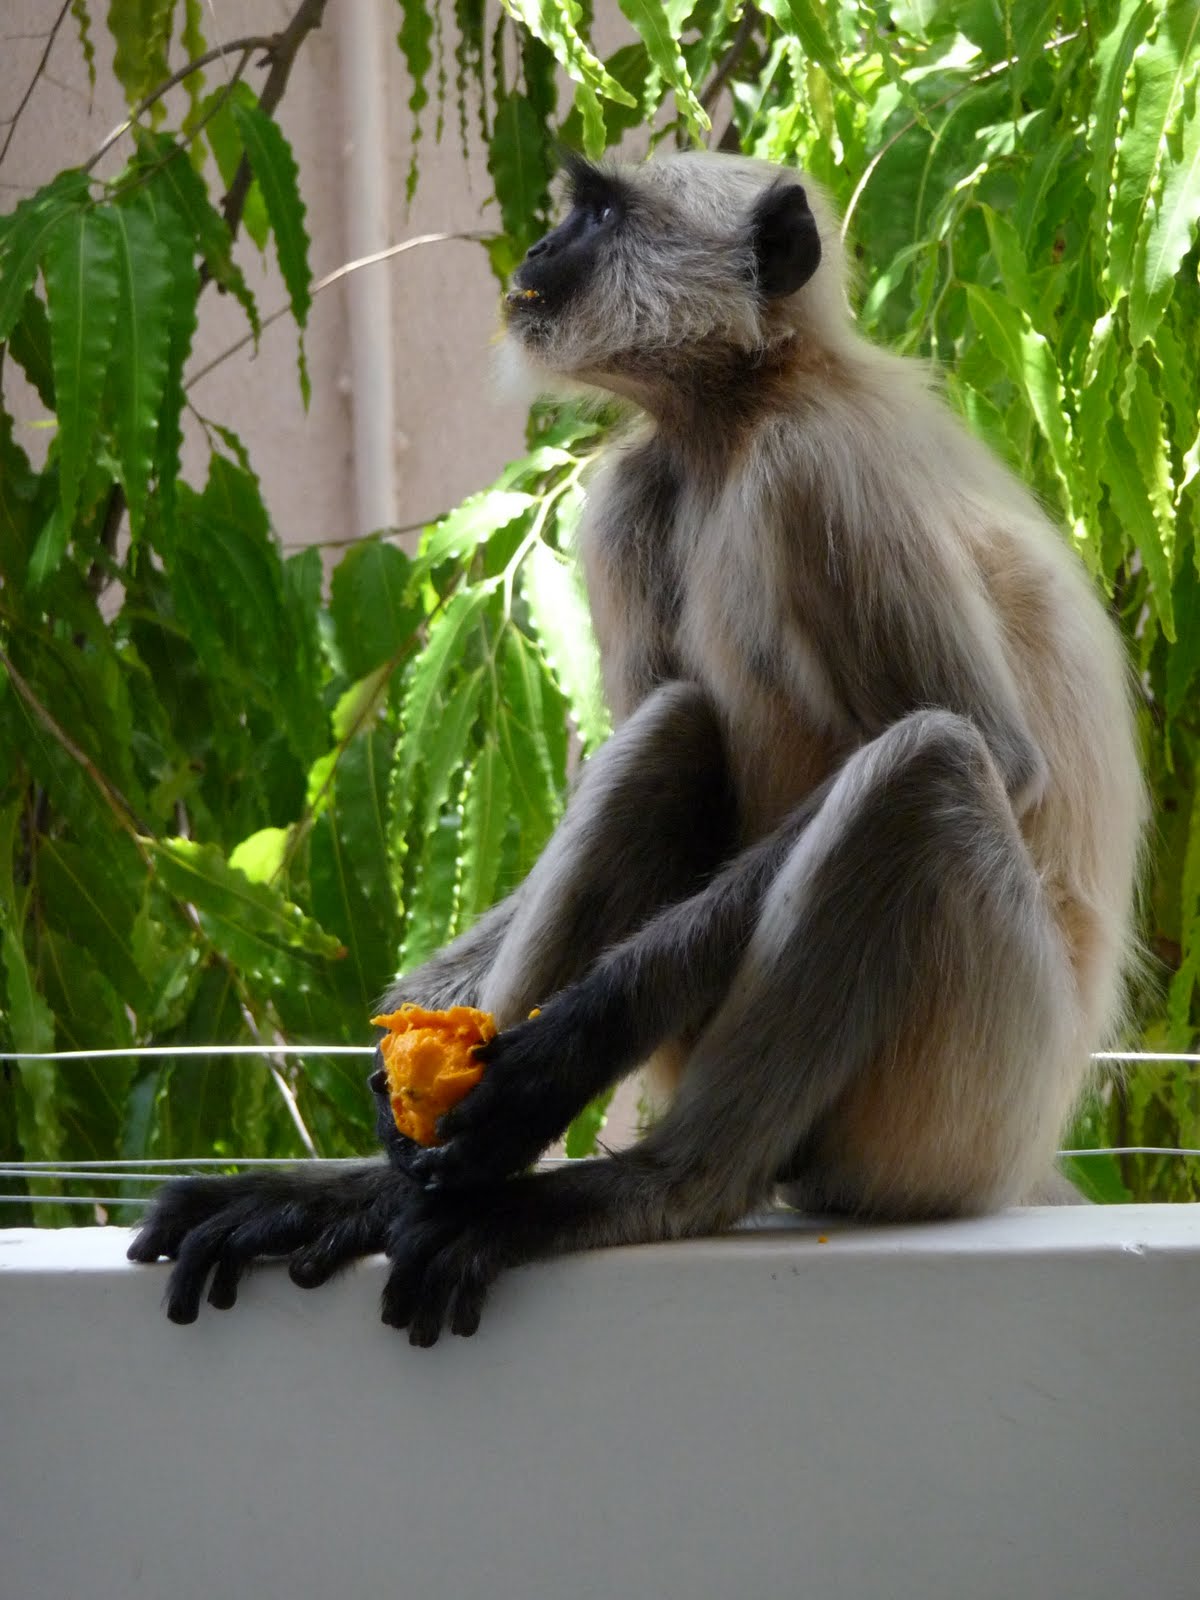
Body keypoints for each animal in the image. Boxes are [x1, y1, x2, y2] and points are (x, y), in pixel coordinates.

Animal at [129, 150, 1146, 1346]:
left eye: (602, 213)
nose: (536, 245)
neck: (735, 413)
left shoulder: (817, 466)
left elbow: (996, 748)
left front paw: (558, 1056)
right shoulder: (632, 493)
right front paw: (418, 1041)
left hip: (968, 1103)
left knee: (926, 766)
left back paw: (646, 1185)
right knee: (678, 728)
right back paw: (387, 1189)